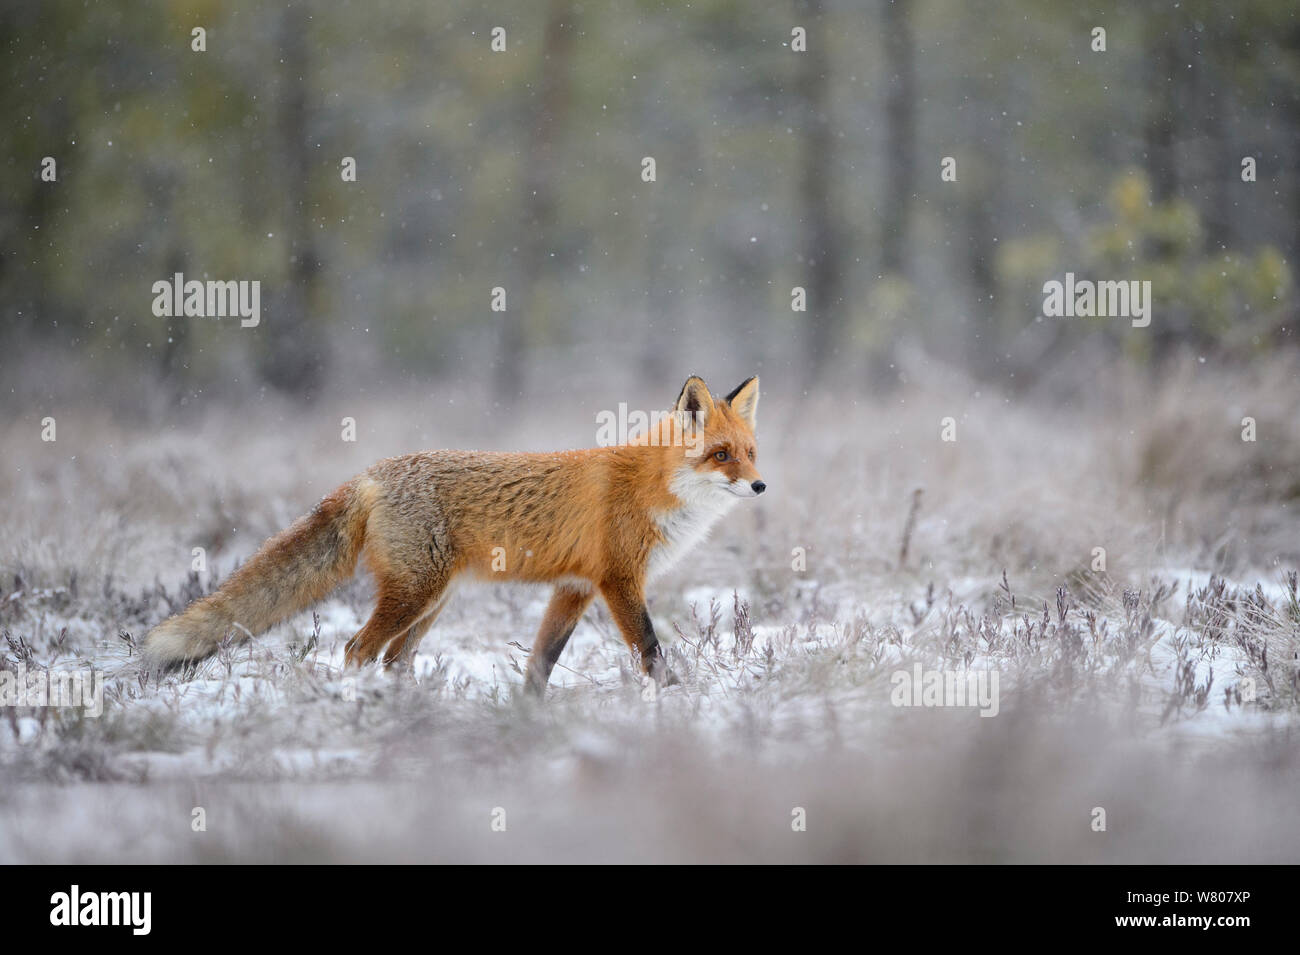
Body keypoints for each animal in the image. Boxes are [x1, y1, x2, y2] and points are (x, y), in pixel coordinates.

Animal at [140, 375, 764, 694]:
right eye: (721, 455)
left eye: (751, 453)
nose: (760, 486)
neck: (653, 486)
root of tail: (370, 473)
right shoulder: (618, 582)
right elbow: (652, 652)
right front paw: (677, 701)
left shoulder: (575, 588)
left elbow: (541, 662)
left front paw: (529, 714)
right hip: (415, 595)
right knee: (357, 649)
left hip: (430, 604)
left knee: (394, 659)